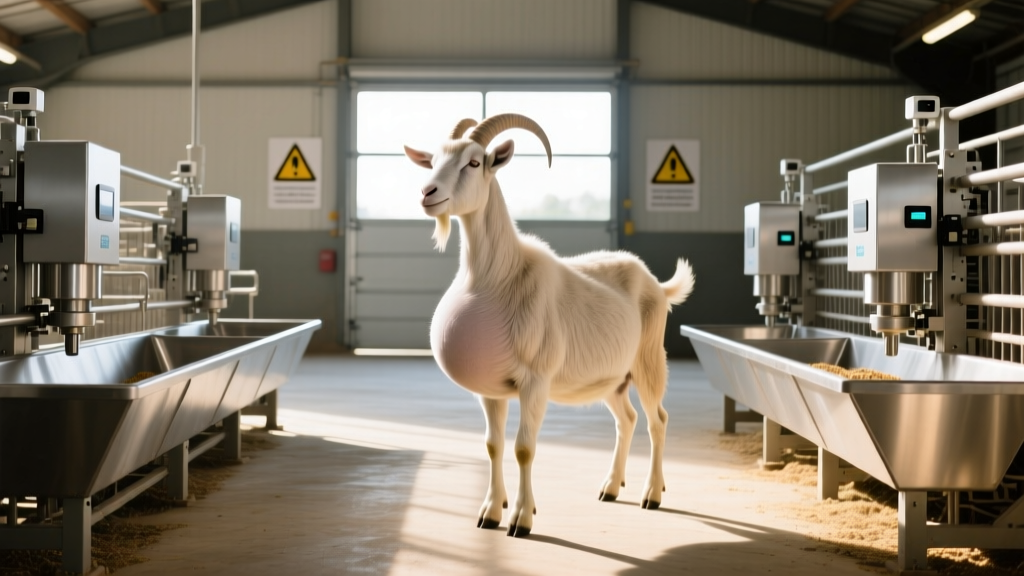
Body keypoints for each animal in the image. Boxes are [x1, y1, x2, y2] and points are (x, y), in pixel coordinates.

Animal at [404, 114, 695, 537]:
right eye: (434, 161)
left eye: (474, 162)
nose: (428, 193)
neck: (497, 276)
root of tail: (656, 284)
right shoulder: (489, 391)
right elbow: (493, 445)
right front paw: (490, 513)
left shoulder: (535, 381)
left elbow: (524, 448)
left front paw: (521, 519)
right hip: (612, 378)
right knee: (627, 420)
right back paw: (610, 487)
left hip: (648, 361)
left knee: (658, 420)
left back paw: (652, 495)